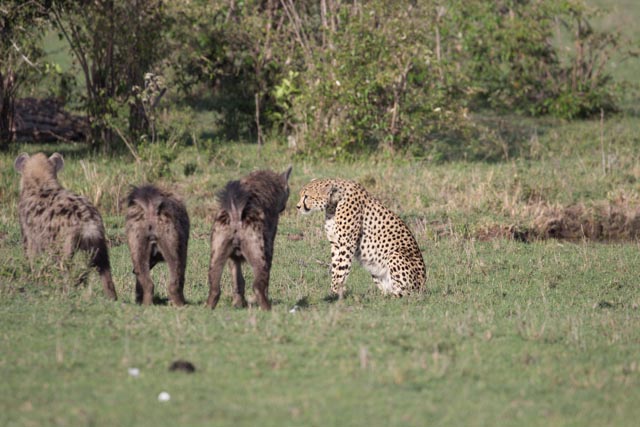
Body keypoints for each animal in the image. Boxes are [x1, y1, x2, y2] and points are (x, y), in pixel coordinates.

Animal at [296, 178, 425, 298]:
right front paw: (335, 291)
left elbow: (341, 269)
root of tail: (423, 286)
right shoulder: (335, 243)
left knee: (406, 293)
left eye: (306, 196)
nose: (298, 207)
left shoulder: (346, 243)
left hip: (395, 255)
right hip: (375, 268)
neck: (333, 203)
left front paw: (334, 293)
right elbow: (335, 268)